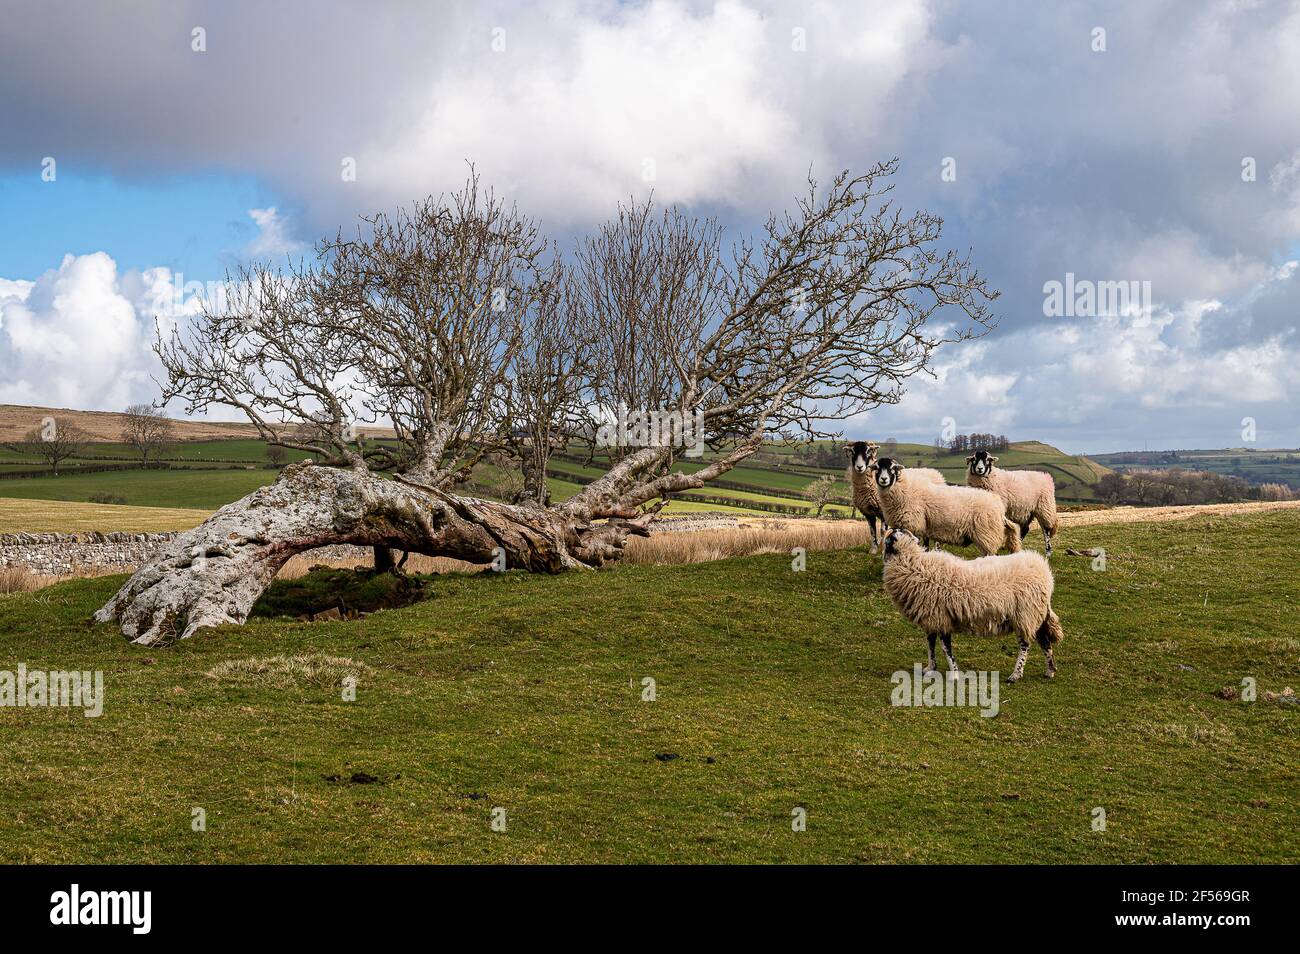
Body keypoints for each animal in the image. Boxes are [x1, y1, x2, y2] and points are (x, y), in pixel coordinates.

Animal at [869, 456, 1021, 556]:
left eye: (892, 468)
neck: (905, 488)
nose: (883, 479)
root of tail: (998, 506)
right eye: (877, 468)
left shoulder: (914, 524)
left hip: (987, 534)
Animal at [881, 528, 1063, 681]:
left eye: (892, 537)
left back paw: (1016, 675)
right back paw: (1050, 670)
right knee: (1044, 641)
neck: (912, 562)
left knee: (1025, 644)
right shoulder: (932, 618)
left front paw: (954, 674)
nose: (888, 529)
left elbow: (945, 648)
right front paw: (930, 668)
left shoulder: (942, 617)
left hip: (1025, 613)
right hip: (1036, 613)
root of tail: (1043, 569)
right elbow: (930, 643)